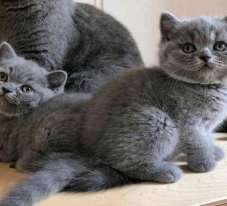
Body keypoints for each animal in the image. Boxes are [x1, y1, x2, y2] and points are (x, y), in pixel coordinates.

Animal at [0, 12, 227, 206]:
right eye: (188, 48)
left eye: (220, 46)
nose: (205, 56)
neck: (208, 89)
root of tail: (90, 150)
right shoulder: (186, 121)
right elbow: (197, 141)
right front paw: (204, 161)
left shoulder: (208, 124)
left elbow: (206, 137)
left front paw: (213, 151)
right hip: (156, 119)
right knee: (123, 162)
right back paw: (164, 170)